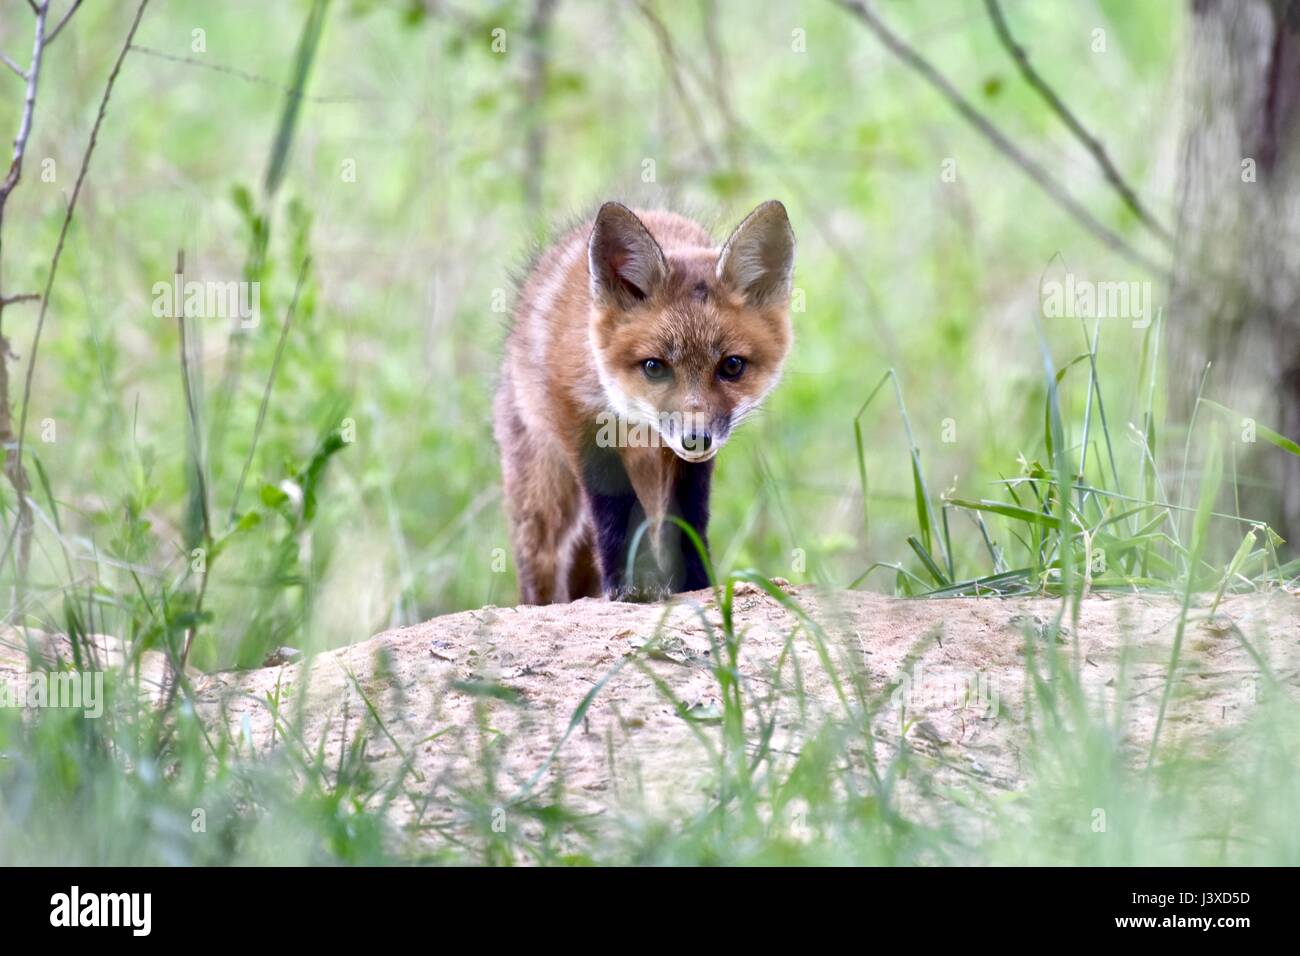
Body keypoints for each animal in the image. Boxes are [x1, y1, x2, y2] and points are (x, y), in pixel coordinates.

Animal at [494, 200, 796, 604]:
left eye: (732, 366)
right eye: (654, 367)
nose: (695, 438)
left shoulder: (689, 462)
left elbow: (688, 517)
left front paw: (695, 582)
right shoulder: (584, 426)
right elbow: (613, 512)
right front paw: (629, 585)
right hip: (545, 497)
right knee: (542, 563)